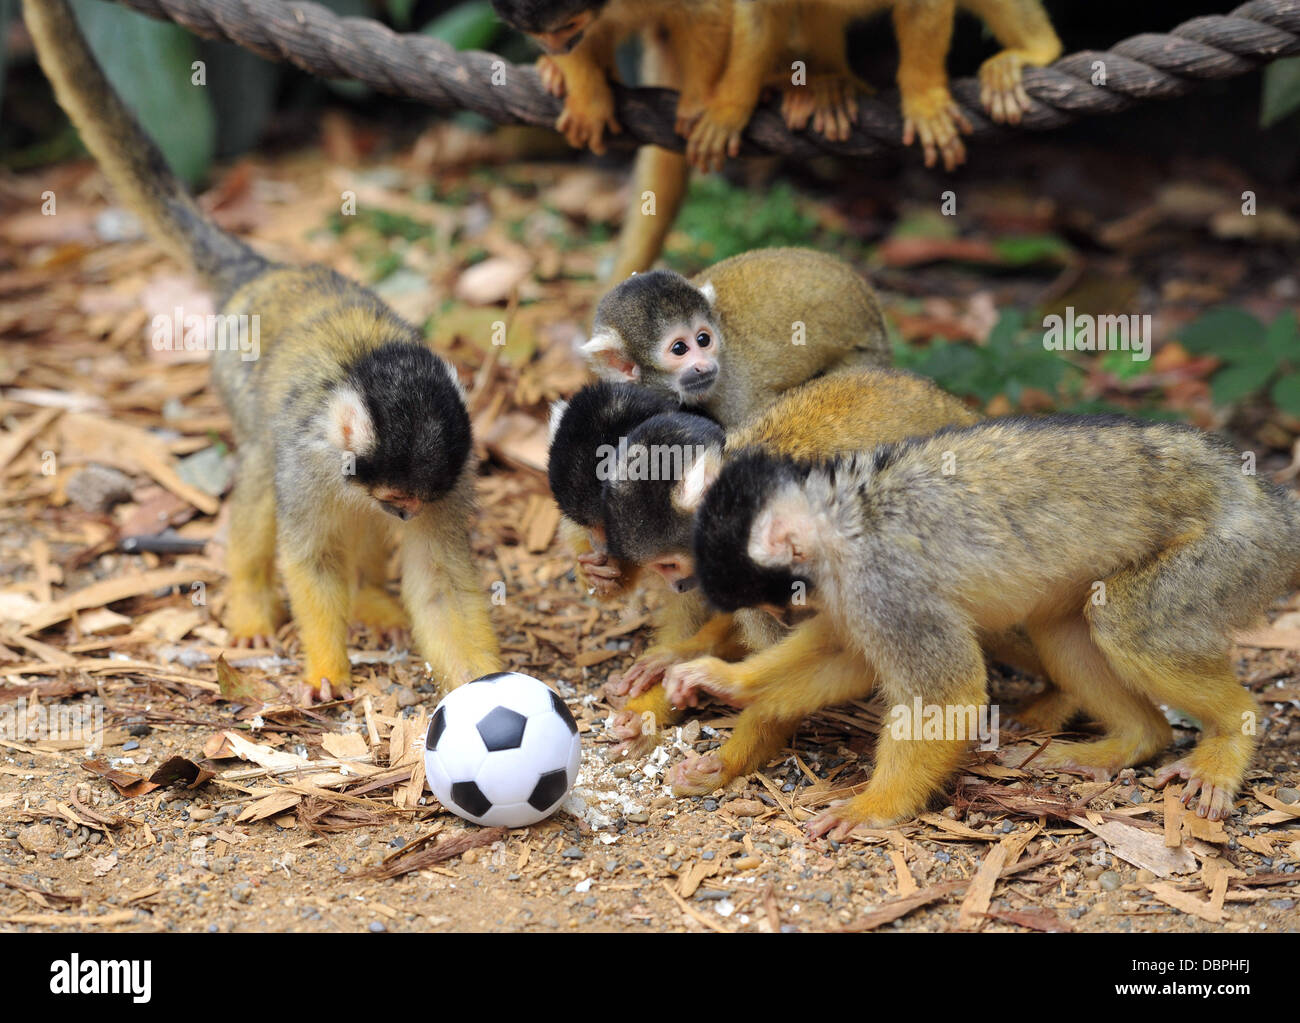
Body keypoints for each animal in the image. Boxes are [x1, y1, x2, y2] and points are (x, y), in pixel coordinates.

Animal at [24, 0, 502, 701]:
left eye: (411, 505)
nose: (400, 513)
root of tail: (266, 271)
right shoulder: (310, 461)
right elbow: (309, 557)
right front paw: (327, 669)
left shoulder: (452, 475)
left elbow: (440, 580)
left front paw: (484, 680)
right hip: (230, 368)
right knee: (256, 464)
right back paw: (252, 601)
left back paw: (369, 595)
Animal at [675, 414, 1300, 834]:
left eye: (783, 602)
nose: (786, 617)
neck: (839, 517)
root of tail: (1272, 502)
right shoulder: (849, 591)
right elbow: (846, 657)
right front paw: (730, 685)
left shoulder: (879, 579)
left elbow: (945, 693)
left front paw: (872, 808)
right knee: (1066, 627)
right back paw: (1135, 739)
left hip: (1234, 552)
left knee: (1126, 624)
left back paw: (1232, 733)